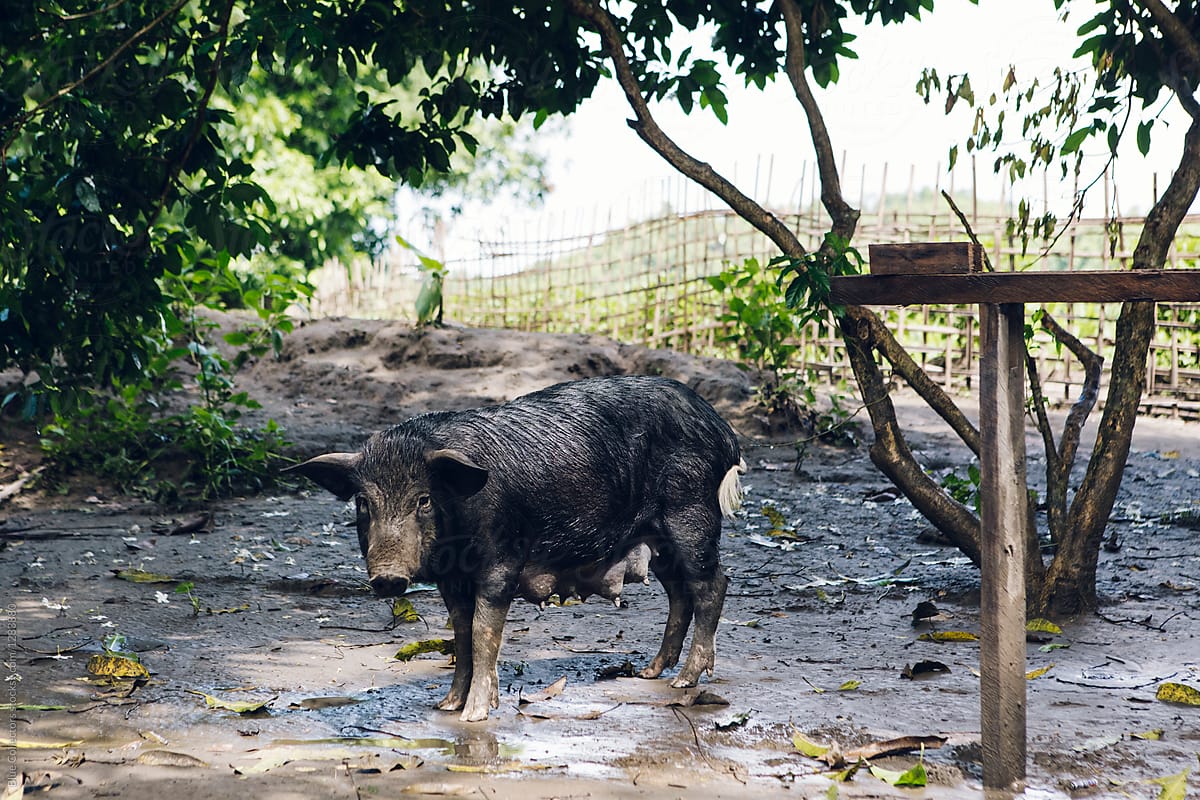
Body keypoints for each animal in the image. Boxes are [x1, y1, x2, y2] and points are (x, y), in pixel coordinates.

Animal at [286, 375, 745, 722]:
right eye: (364, 502)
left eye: (423, 499)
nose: (387, 578)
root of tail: (722, 429)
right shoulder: (451, 578)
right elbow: (460, 632)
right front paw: (445, 706)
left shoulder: (501, 560)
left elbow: (483, 632)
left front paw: (474, 715)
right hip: (656, 537)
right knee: (680, 593)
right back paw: (651, 672)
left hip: (691, 515)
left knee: (713, 584)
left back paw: (684, 681)